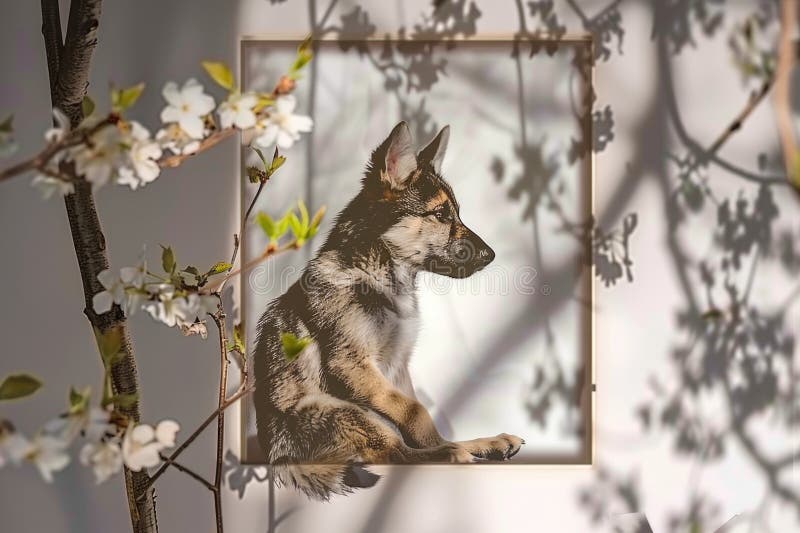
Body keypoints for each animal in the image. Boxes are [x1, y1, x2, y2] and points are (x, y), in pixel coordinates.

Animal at [253, 121, 524, 500]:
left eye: (456, 213)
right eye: (441, 215)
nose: (491, 256)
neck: (382, 275)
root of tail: (279, 457)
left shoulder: (398, 368)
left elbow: (419, 419)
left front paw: (456, 443)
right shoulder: (353, 365)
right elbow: (416, 412)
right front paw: (447, 448)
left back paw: (479, 444)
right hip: (341, 412)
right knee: (397, 453)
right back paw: (452, 451)